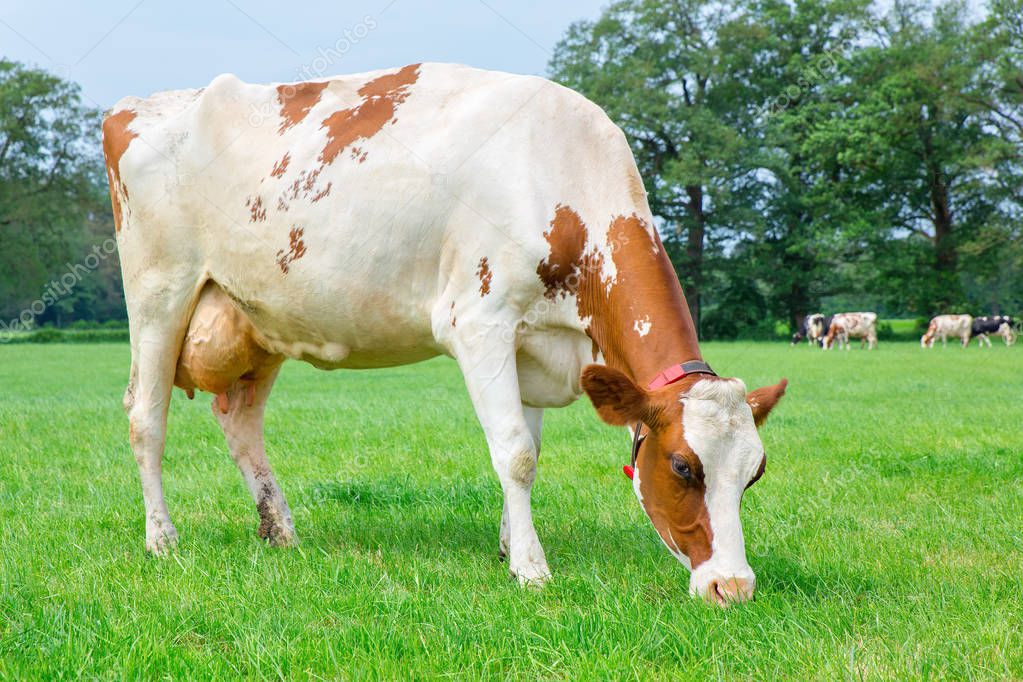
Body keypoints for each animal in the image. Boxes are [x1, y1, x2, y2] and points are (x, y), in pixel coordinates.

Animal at [102, 63, 787, 605]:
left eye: (753, 472)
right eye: (682, 467)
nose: (734, 586)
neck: (557, 173)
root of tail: (134, 105)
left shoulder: (531, 345)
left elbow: (529, 449)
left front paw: (510, 546)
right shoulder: (481, 322)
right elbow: (515, 452)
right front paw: (532, 569)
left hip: (257, 319)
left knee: (240, 420)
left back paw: (281, 531)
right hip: (159, 293)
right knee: (145, 418)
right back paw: (162, 539)